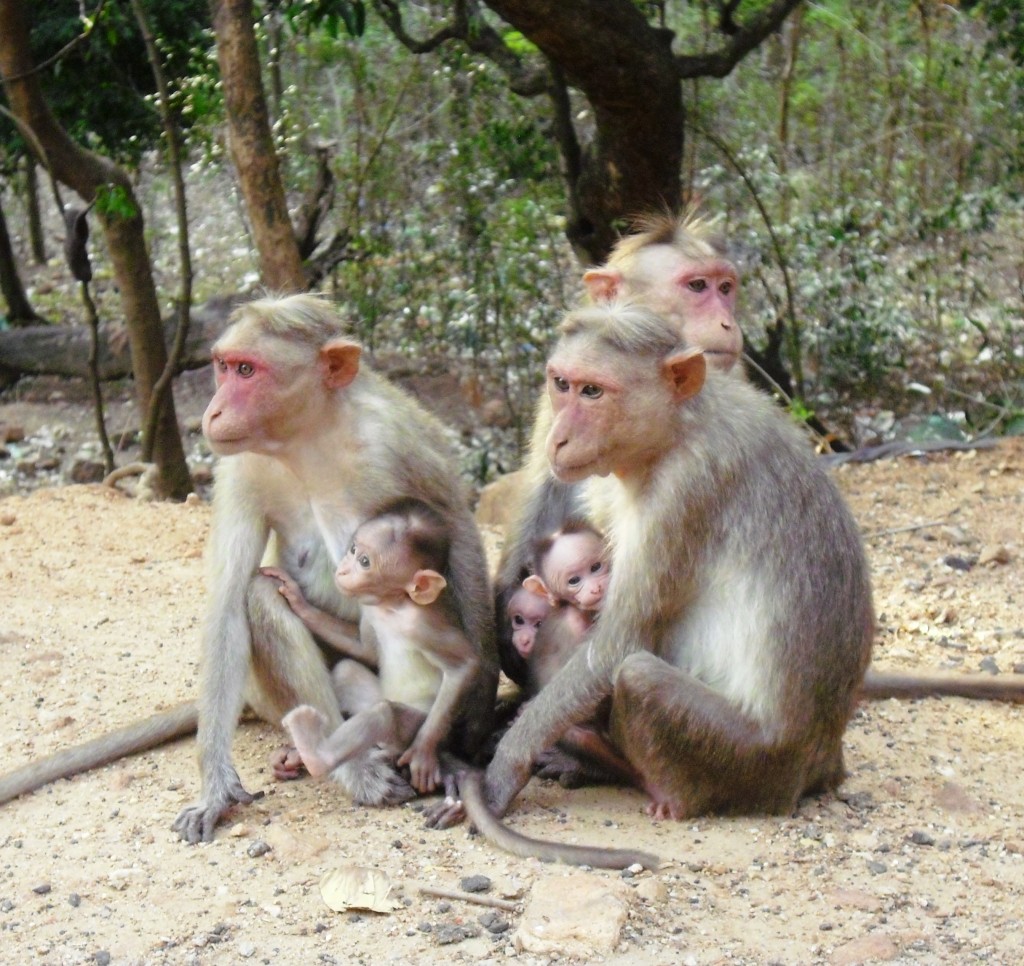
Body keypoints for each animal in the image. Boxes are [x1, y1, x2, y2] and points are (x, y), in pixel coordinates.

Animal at [263, 498, 482, 797]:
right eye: (353, 549)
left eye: (365, 562)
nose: (343, 569)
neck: (393, 605)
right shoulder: (369, 609)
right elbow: (364, 649)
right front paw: (298, 602)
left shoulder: (423, 625)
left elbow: (466, 665)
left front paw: (423, 752)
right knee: (346, 672)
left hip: (412, 726)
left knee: (385, 714)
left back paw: (316, 755)